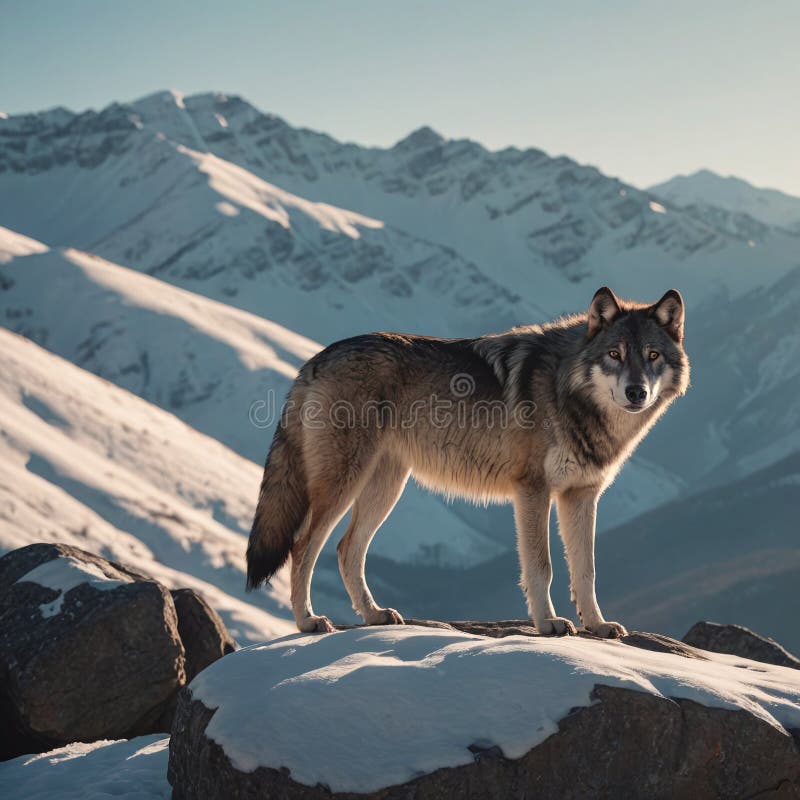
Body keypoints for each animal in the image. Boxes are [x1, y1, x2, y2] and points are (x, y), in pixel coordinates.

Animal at [247, 287, 690, 637]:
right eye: (615, 354)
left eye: (652, 355)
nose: (636, 392)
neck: (568, 391)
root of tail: (316, 358)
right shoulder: (533, 490)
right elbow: (541, 566)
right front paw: (548, 624)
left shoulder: (581, 496)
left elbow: (586, 571)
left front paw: (597, 626)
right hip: (344, 483)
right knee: (304, 546)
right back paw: (308, 621)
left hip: (386, 487)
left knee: (346, 549)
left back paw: (374, 615)